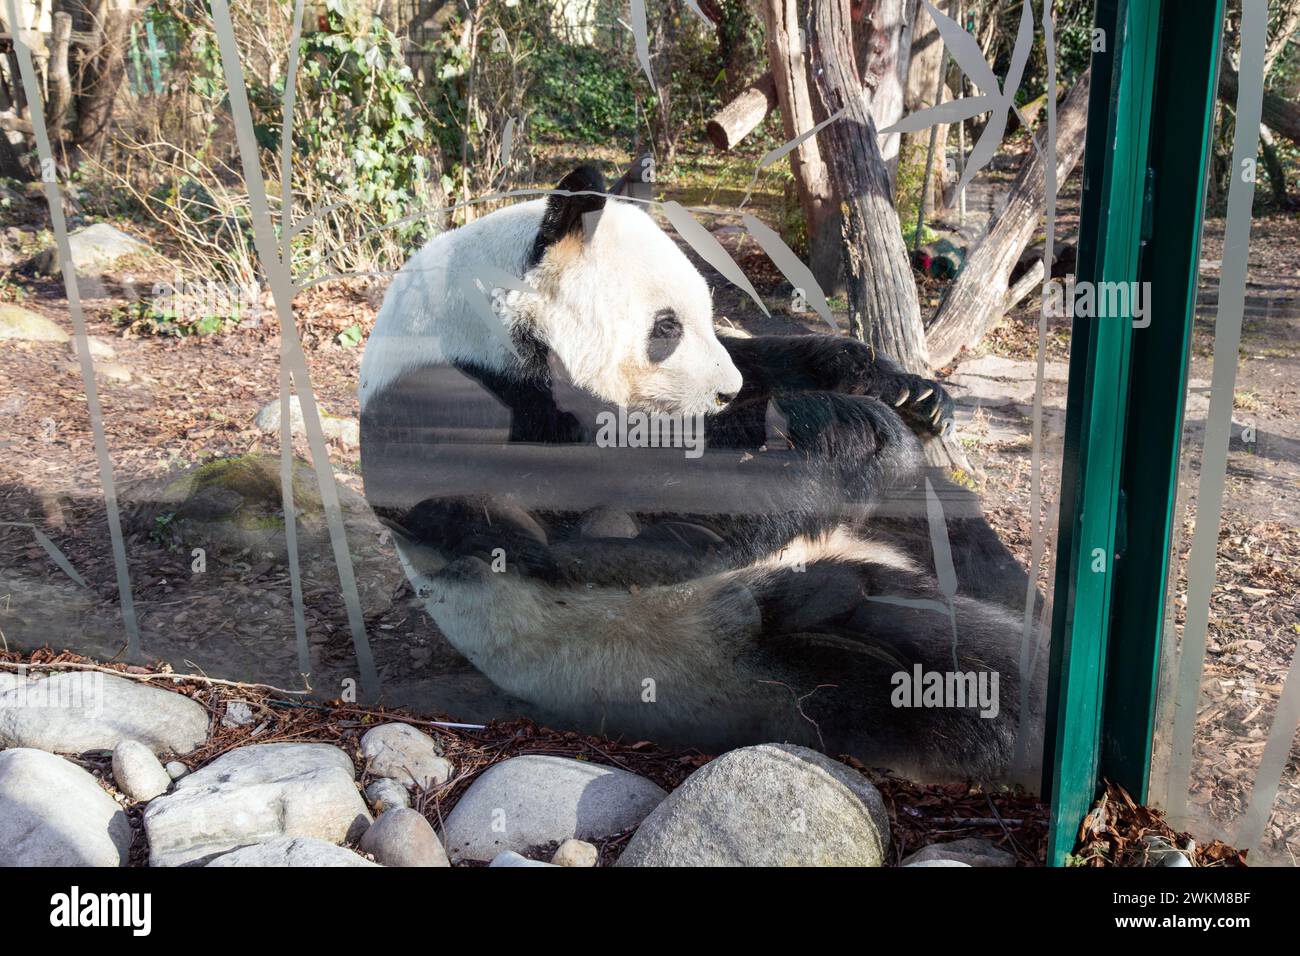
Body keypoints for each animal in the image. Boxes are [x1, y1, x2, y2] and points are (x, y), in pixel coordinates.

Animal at [359, 164, 1044, 782]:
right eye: (666, 328)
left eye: (708, 315)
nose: (724, 393)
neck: (476, 324)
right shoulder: (454, 403)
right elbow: (619, 522)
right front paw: (851, 427)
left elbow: (767, 364)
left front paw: (903, 391)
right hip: (703, 651)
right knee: (901, 669)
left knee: (942, 526)